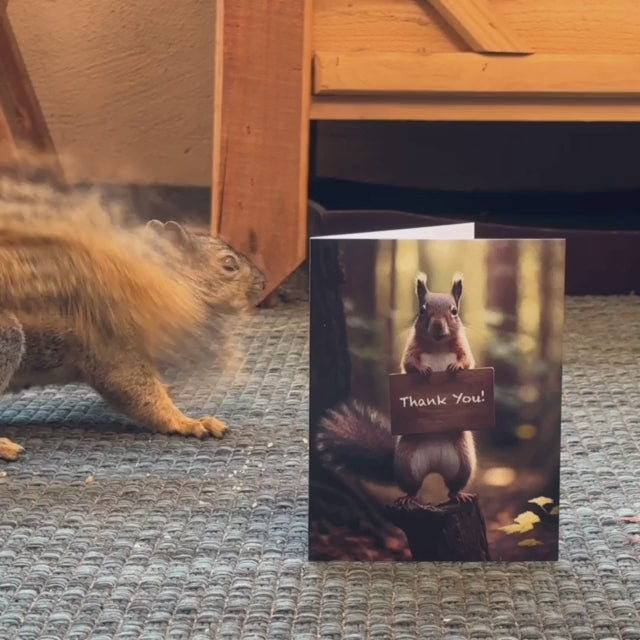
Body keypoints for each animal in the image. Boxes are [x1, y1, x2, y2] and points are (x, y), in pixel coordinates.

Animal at [0, 159, 266, 461]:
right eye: (229, 264)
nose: (263, 282)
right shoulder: (112, 342)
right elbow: (136, 390)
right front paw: (188, 421)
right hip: (7, 337)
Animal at [315, 271, 476, 506]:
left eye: (454, 311)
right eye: (422, 310)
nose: (438, 326)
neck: (437, 344)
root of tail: (434, 466)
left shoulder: (463, 348)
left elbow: (468, 361)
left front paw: (456, 367)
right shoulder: (410, 350)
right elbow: (408, 364)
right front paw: (423, 370)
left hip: (463, 464)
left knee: (453, 487)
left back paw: (459, 495)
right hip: (407, 465)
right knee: (412, 488)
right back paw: (408, 499)